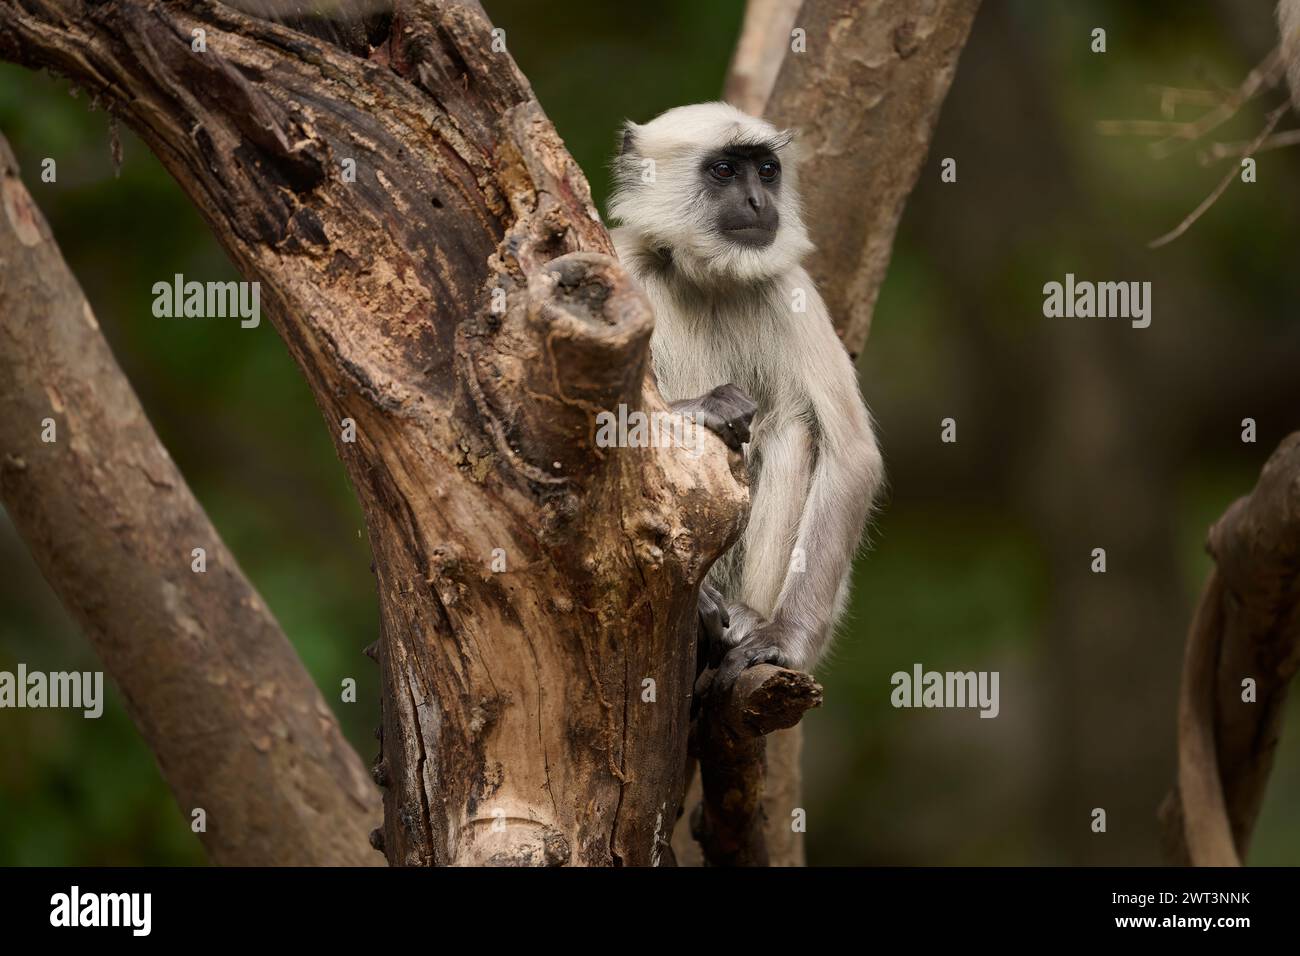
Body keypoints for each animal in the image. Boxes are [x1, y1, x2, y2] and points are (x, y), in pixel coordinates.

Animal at [608, 102, 884, 691]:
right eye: (725, 171)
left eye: (767, 170)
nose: (759, 202)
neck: (709, 279)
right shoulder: (623, 264)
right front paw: (706, 406)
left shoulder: (790, 287)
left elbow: (851, 455)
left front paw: (783, 638)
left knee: (792, 428)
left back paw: (747, 617)